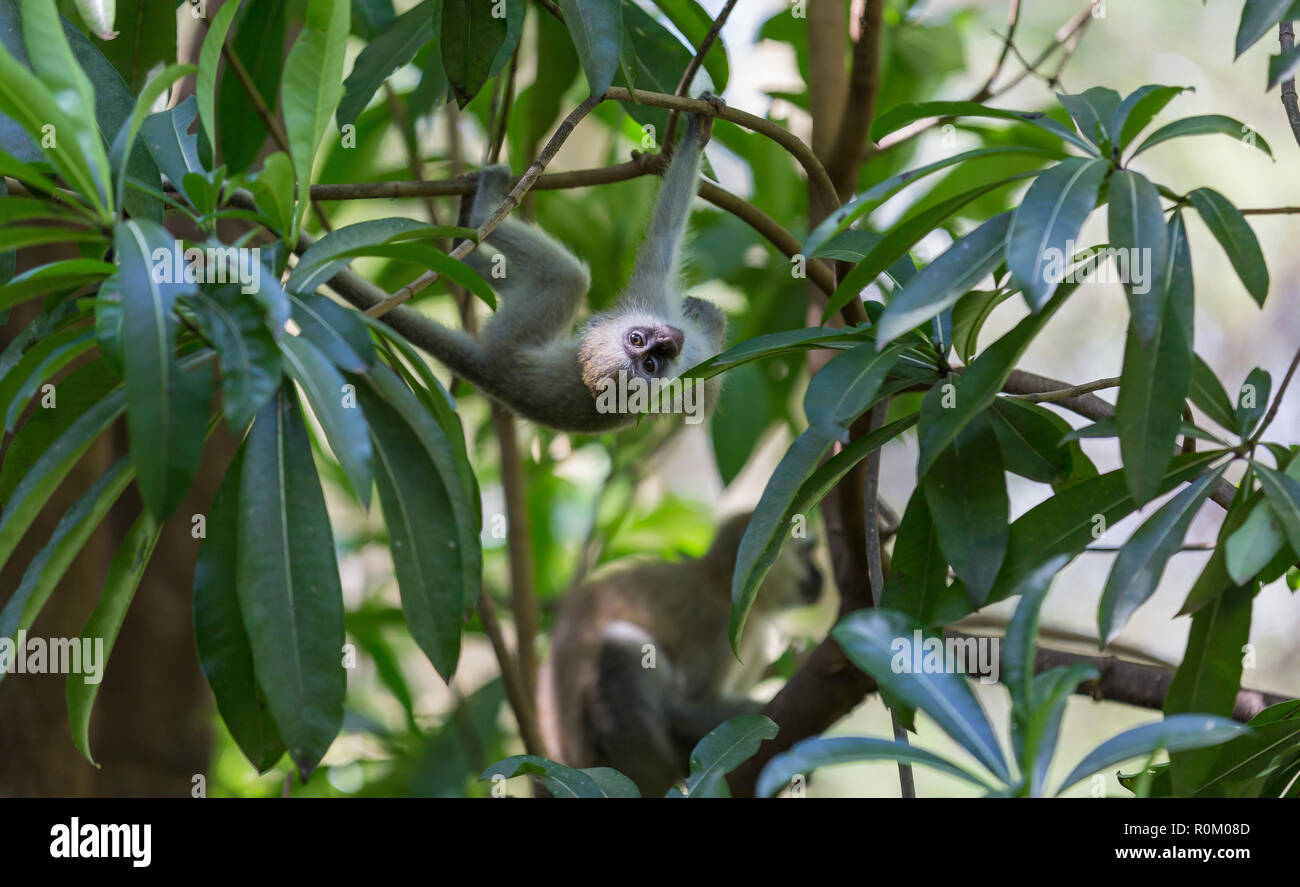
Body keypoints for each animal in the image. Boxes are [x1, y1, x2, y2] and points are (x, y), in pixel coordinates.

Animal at [380, 106, 728, 433]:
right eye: (649, 362)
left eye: (640, 343)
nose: (669, 342)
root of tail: (490, 371)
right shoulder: (653, 296)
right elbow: (666, 232)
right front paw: (696, 135)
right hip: (513, 333)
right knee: (571, 278)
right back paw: (479, 216)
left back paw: (463, 248)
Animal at [538, 513, 824, 797]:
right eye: (806, 553)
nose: (819, 576)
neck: (720, 583)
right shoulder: (716, 626)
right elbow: (681, 708)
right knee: (622, 646)